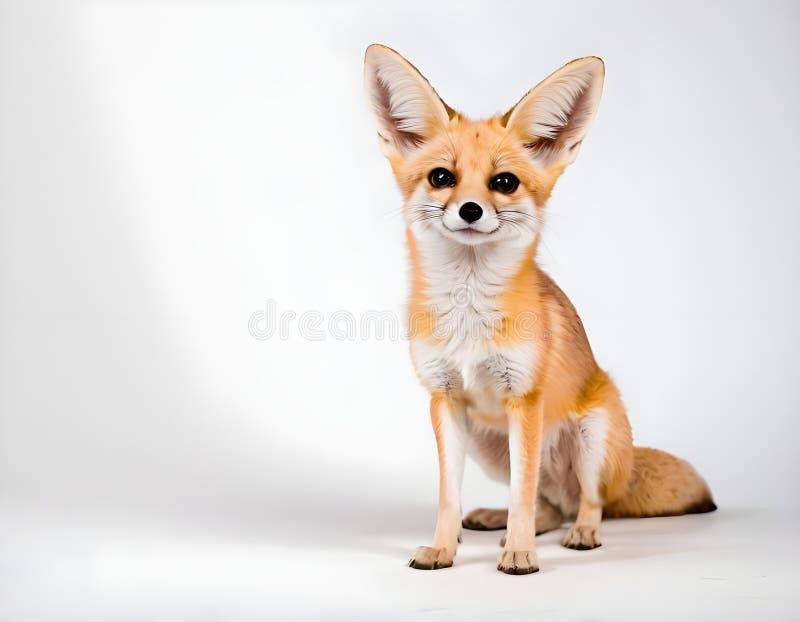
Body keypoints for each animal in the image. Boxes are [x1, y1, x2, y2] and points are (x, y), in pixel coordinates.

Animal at [363, 44, 716, 575]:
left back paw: (581, 533)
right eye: (441, 178)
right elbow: (450, 496)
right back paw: (495, 522)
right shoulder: (445, 399)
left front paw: (520, 552)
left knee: (589, 503)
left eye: (504, 182)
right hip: (487, 443)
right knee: (548, 504)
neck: (470, 316)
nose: (470, 210)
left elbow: (523, 496)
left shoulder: (524, 398)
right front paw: (444, 548)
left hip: (590, 438)